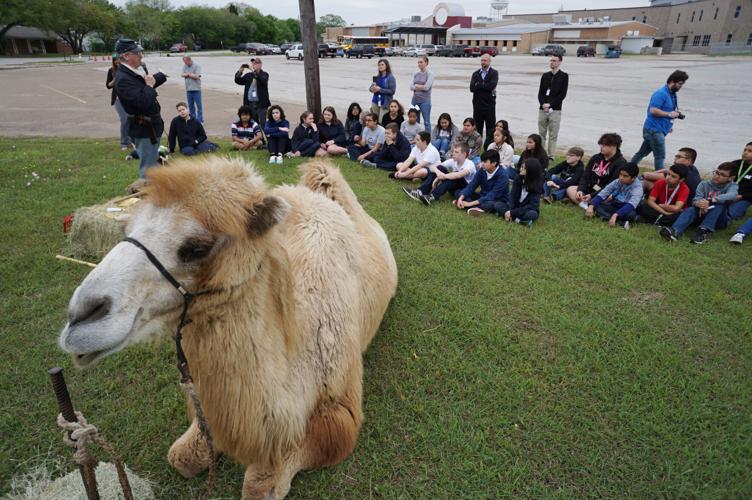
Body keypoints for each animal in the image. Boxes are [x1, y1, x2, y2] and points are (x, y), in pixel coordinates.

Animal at [58, 156, 398, 499]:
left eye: (196, 247)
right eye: (125, 229)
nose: (80, 316)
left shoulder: (340, 411)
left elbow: (261, 485)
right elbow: (180, 456)